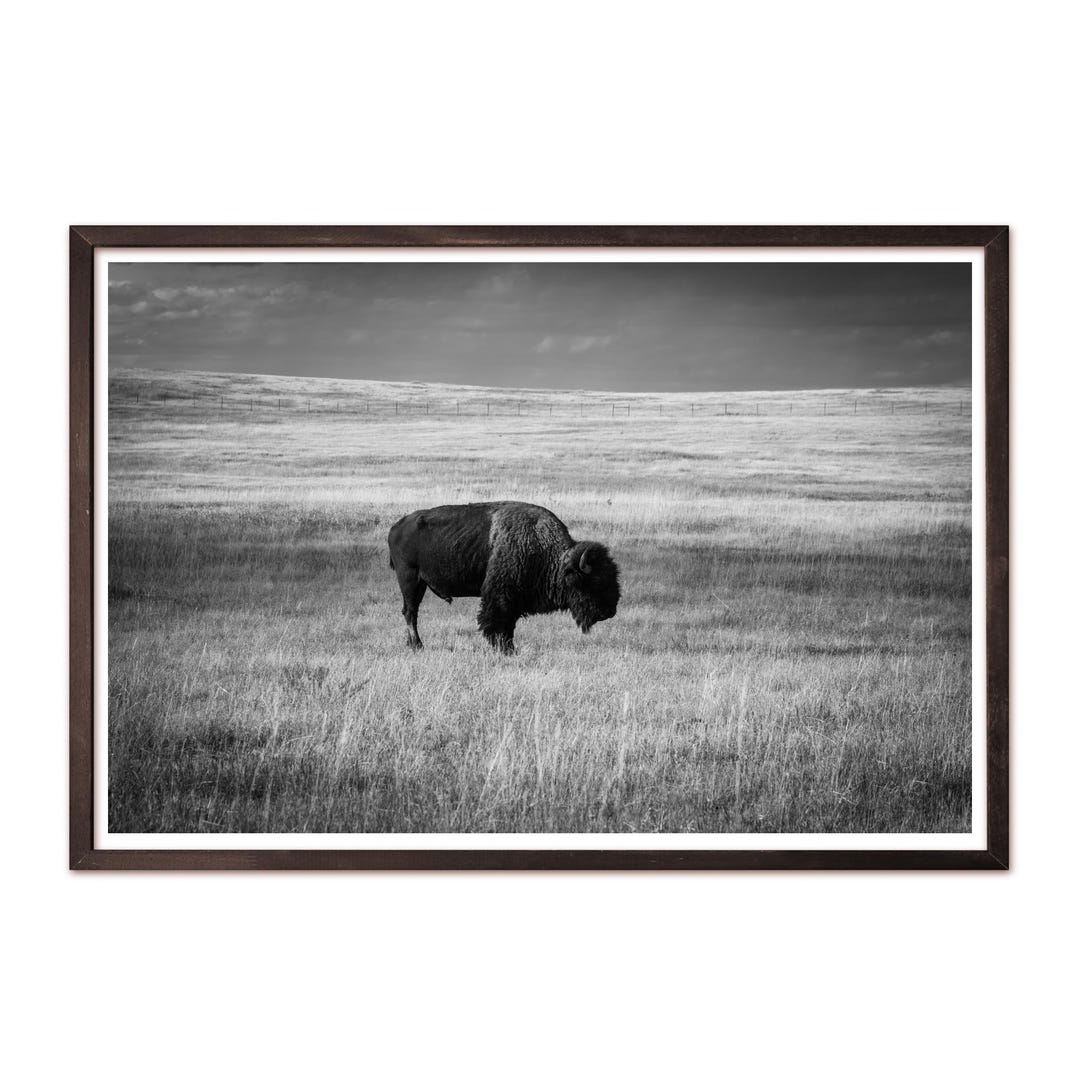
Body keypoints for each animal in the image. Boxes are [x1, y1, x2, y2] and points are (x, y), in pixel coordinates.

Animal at [387, 501, 620, 652]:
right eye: (595, 582)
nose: (609, 612)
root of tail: (396, 527)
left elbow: (509, 625)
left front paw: (509, 648)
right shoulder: (501, 596)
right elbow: (498, 622)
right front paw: (505, 649)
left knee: (409, 612)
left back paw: (412, 644)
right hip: (410, 579)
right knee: (410, 612)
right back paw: (418, 646)